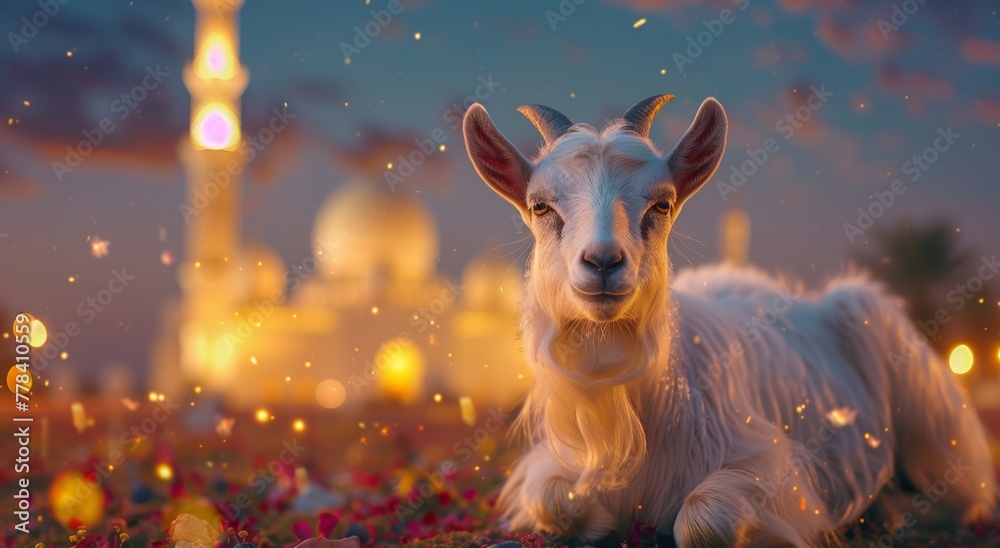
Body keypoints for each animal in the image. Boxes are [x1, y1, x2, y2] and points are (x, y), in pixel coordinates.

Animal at [461, 94, 996, 546]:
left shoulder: (777, 466)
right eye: (539, 206)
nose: (603, 262)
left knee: (958, 493)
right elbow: (556, 500)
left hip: (928, 413)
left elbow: (703, 520)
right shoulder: (550, 459)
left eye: (662, 203)